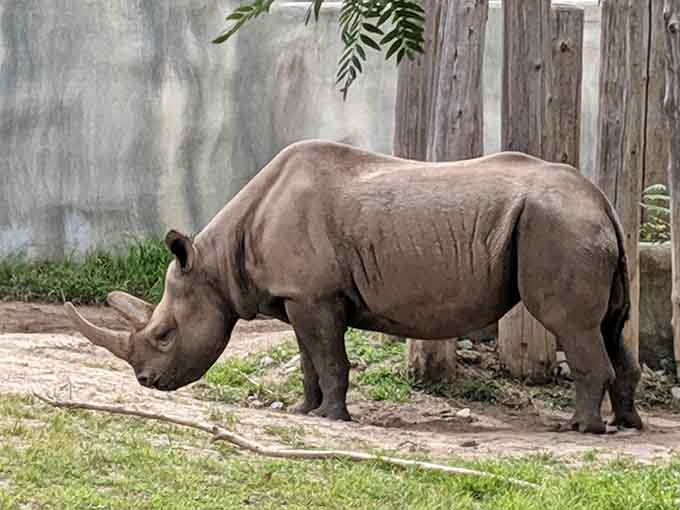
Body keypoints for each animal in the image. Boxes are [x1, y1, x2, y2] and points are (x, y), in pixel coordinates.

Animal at [65, 140, 642, 434]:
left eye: (165, 335)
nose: (146, 383)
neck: (219, 258)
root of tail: (601, 201)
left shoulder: (315, 296)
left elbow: (329, 357)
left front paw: (332, 418)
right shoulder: (297, 297)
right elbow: (308, 360)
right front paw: (306, 412)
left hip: (558, 225)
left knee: (571, 325)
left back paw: (577, 430)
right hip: (577, 225)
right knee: (613, 327)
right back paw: (627, 424)